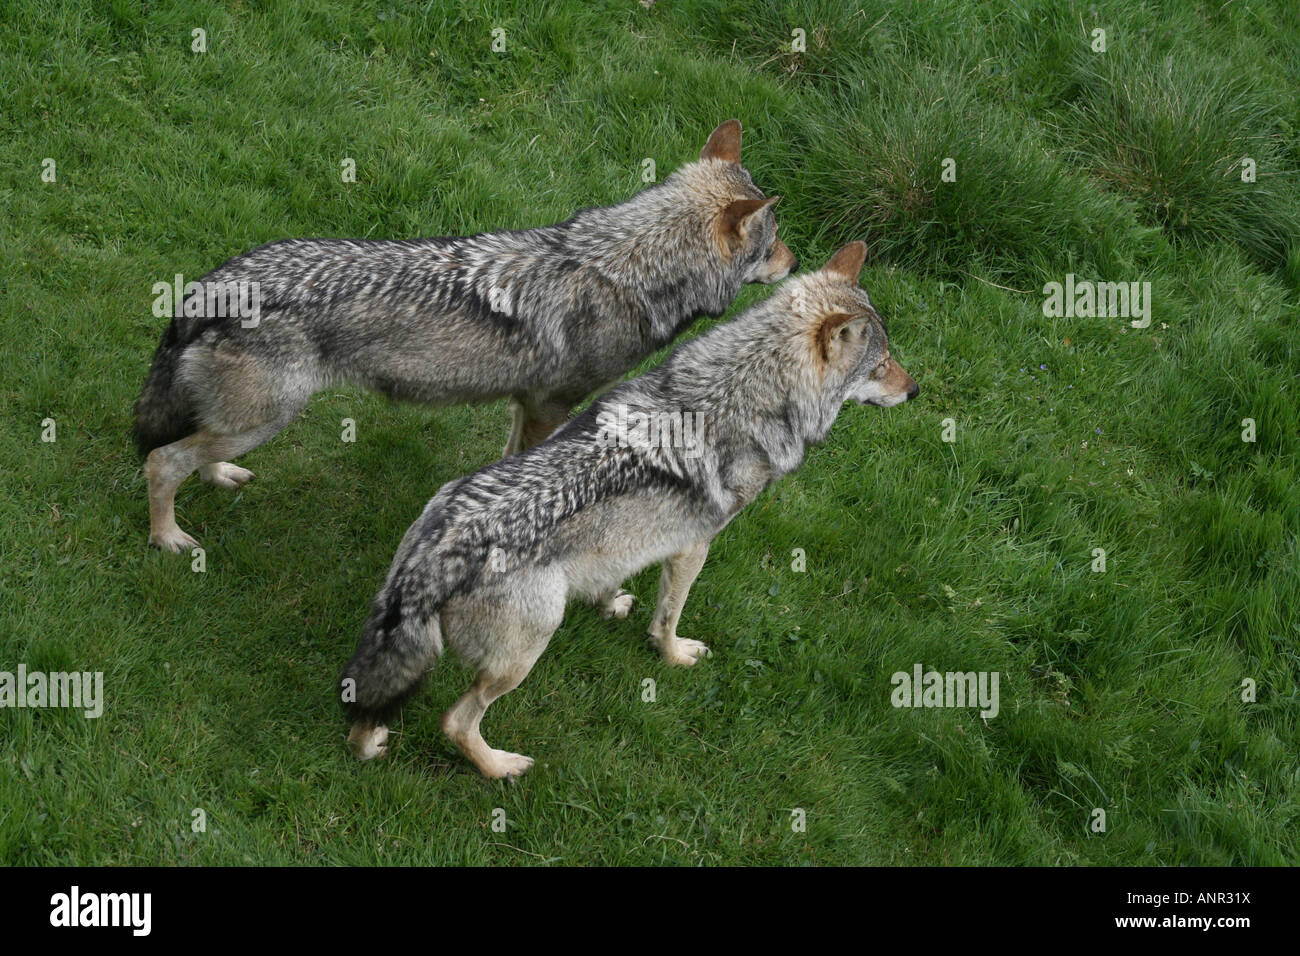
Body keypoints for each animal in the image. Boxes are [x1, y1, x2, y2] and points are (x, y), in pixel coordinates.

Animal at [132, 120, 796, 552]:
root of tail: (215, 286)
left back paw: (220, 479)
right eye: (774, 242)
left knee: (196, 453)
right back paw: (168, 538)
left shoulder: (526, 405)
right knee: (163, 462)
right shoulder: (549, 407)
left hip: (245, 424)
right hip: (265, 420)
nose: (796, 263)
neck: (627, 270)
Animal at [339, 242, 919, 777]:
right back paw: (500, 767)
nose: (915, 391)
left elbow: (613, 576)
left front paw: (610, 602)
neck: (743, 387)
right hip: (526, 651)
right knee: (455, 722)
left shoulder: (630, 541)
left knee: (366, 713)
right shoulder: (694, 546)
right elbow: (669, 617)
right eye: (882, 364)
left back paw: (372, 744)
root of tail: (433, 559)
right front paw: (674, 656)